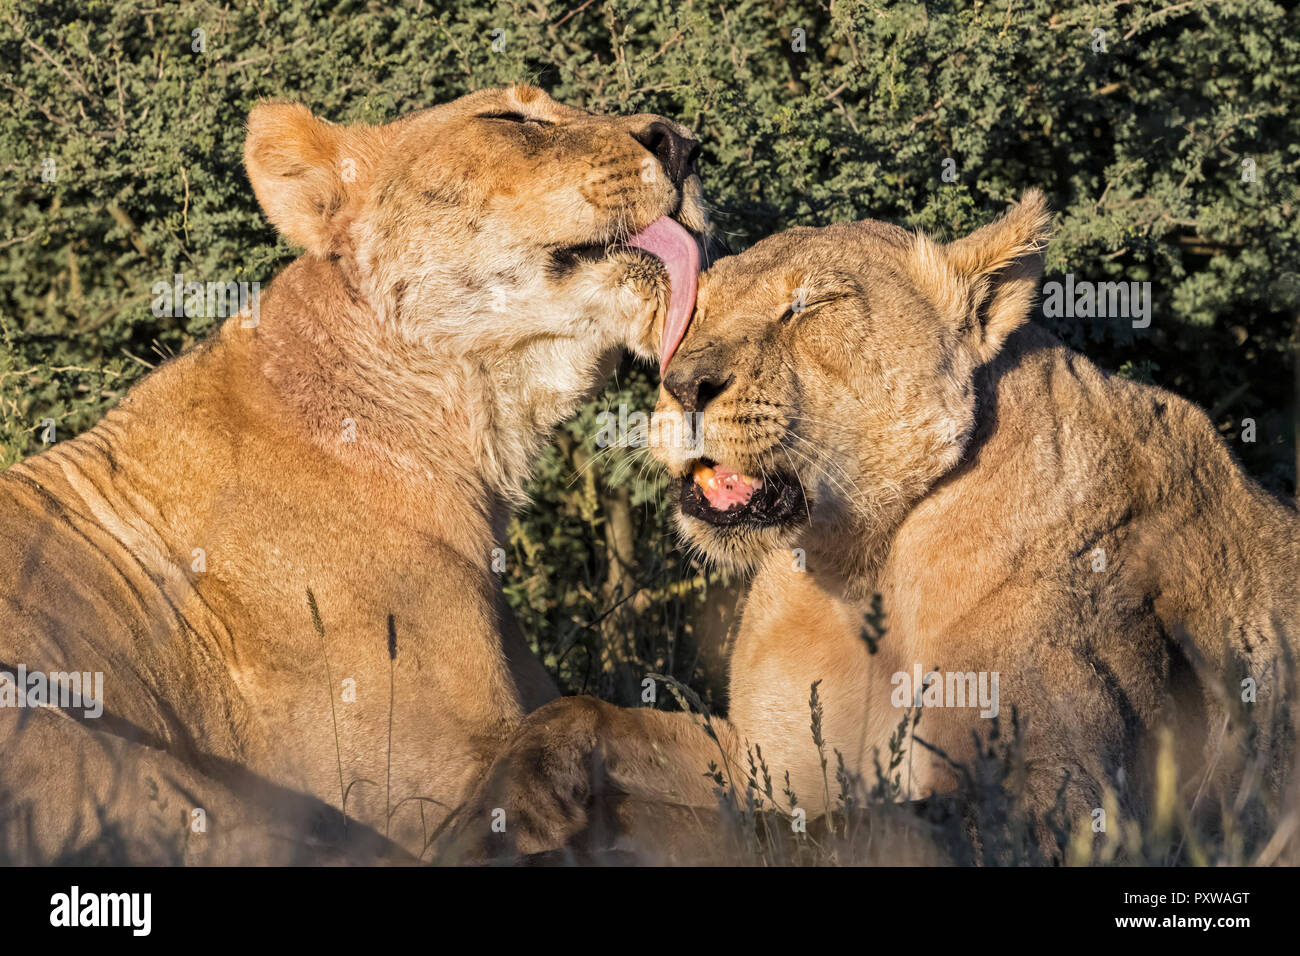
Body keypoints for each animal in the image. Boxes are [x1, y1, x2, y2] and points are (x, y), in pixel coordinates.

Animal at [444, 191, 1299, 863]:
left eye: (807, 307)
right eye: (693, 314)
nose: (681, 384)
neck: (858, 568)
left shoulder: (1066, 808)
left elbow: (817, 836)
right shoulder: (764, 756)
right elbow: (584, 714)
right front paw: (501, 810)